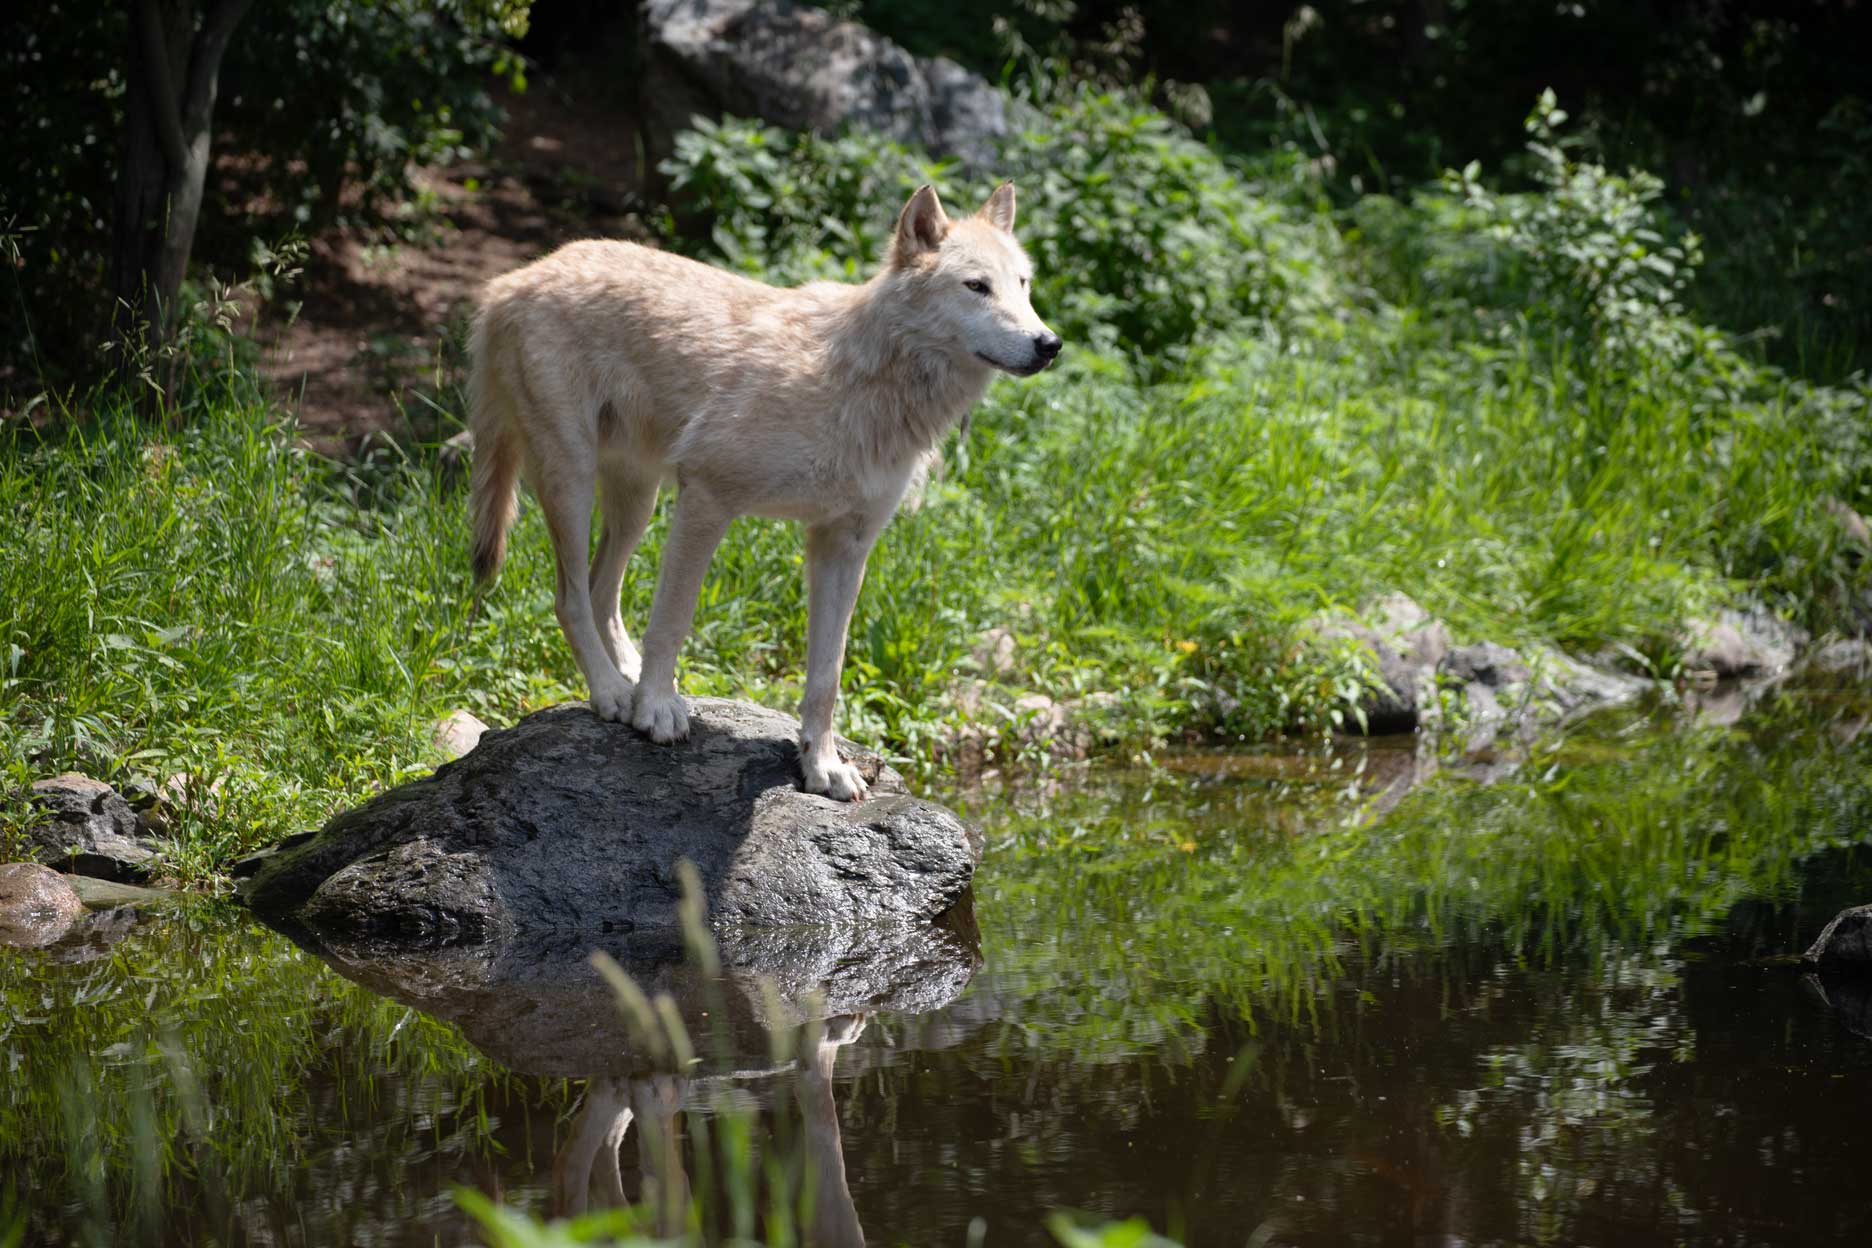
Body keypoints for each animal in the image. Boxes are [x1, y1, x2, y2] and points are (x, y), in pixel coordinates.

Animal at [467, 183, 1060, 800]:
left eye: (1023, 285)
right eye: (976, 286)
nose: (1050, 344)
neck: (861, 381)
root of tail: (511, 281)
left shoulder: (844, 545)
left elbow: (827, 674)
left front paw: (823, 766)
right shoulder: (706, 498)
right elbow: (672, 620)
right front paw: (656, 708)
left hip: (638, 502)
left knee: (601, 589)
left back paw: (623, 675)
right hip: (574, 482)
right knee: (569, 597)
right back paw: (611, 693)